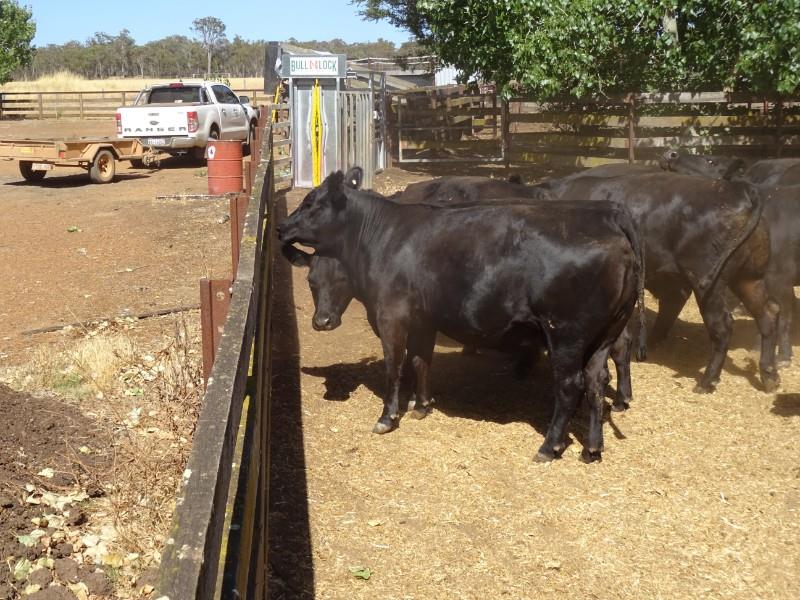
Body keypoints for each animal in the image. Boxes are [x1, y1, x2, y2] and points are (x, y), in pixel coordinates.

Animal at [279, 170, 645, 462]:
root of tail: (611, 218)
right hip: (604, 333)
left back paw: (549, 446)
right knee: (597, 380)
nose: (283, 226)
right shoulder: (423, 320)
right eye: (312, 281)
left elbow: (394, 366)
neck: (384, 237)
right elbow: (421, 361)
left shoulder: (391, 316)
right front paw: (422, 406)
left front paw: (388, 417)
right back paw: (592, 448)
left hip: (567, 334)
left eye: (312, 203)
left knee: (571, 385)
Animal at [540, 170, 780, 393]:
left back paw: (707, 381)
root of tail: (740, 189)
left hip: (709, 284)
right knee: (767, 314)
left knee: (723, 326)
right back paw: (769, 376)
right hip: (749, 278)